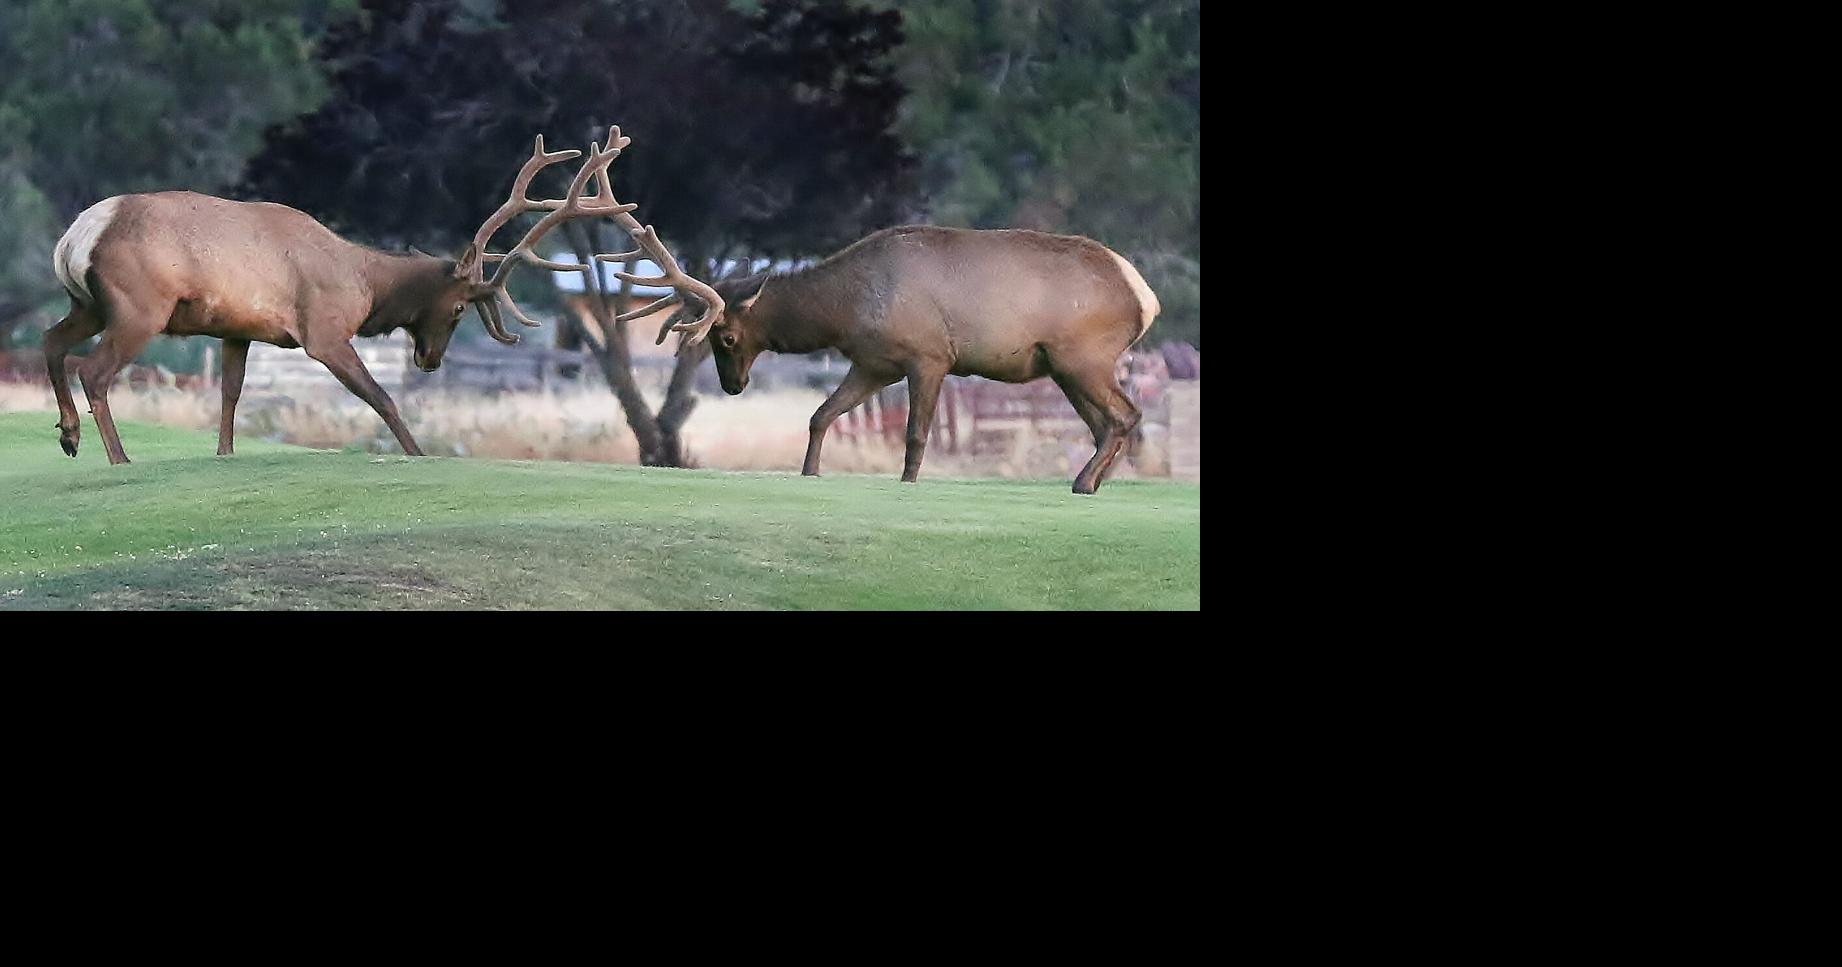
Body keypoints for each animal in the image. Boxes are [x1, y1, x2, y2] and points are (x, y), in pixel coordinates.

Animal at [44, 126, 720, 465]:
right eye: (457, 307)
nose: (431, 360)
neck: (364, 282)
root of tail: (77, 235)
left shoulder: (238, 329)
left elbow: (231, 394)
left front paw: (224, 453)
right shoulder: (321, 330)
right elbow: (380, 396)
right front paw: (417, 452)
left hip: (89, 303)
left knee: (53, 342)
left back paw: (70, 435)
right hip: (138, 306)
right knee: (92, 368)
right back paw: (117, 457)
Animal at [648, 226, 1160, 494]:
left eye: (727, 337)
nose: (733, 385)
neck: (844, 310)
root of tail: (1145, 296)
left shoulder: (929, 356)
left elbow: (916, 432)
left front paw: (908, 481)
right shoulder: (873, 364)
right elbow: (821, 415)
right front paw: (810, 472)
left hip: (1082, 358)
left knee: (1126, 415)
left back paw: (1084, 482)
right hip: (1064, 369)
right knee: (1106, 424)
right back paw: (1093, 481)